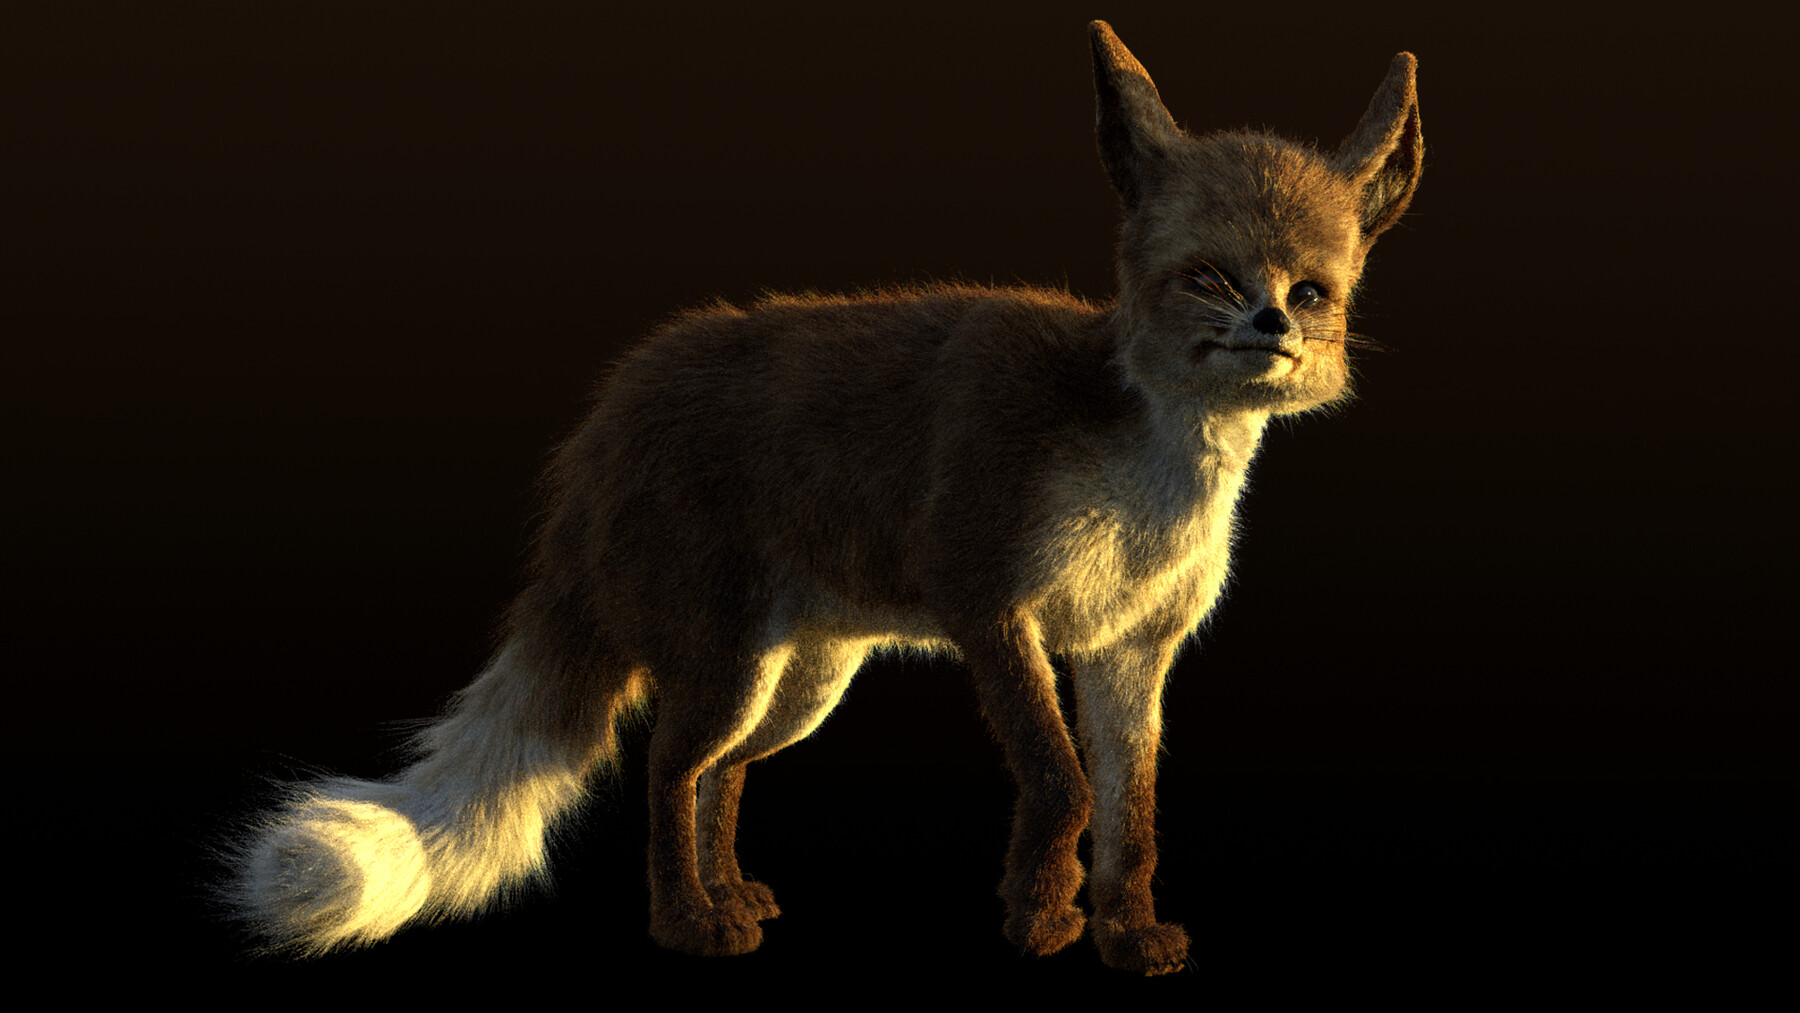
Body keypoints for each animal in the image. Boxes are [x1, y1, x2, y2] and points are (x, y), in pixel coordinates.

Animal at [226, 21, 1422, 975]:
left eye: (1314, 290)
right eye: (1211, 277)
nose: (1274, 325)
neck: (1145, 477)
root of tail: (610, 412)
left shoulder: (1132, 647)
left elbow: (1133, 814)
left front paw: (1126, 936)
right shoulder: (993, 608)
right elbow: (1063, 783)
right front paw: (1040, 923)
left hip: (798, 680)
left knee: (718, 773)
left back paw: (730, 893)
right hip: (725, 661)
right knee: (665, 767)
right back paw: (690, 924)